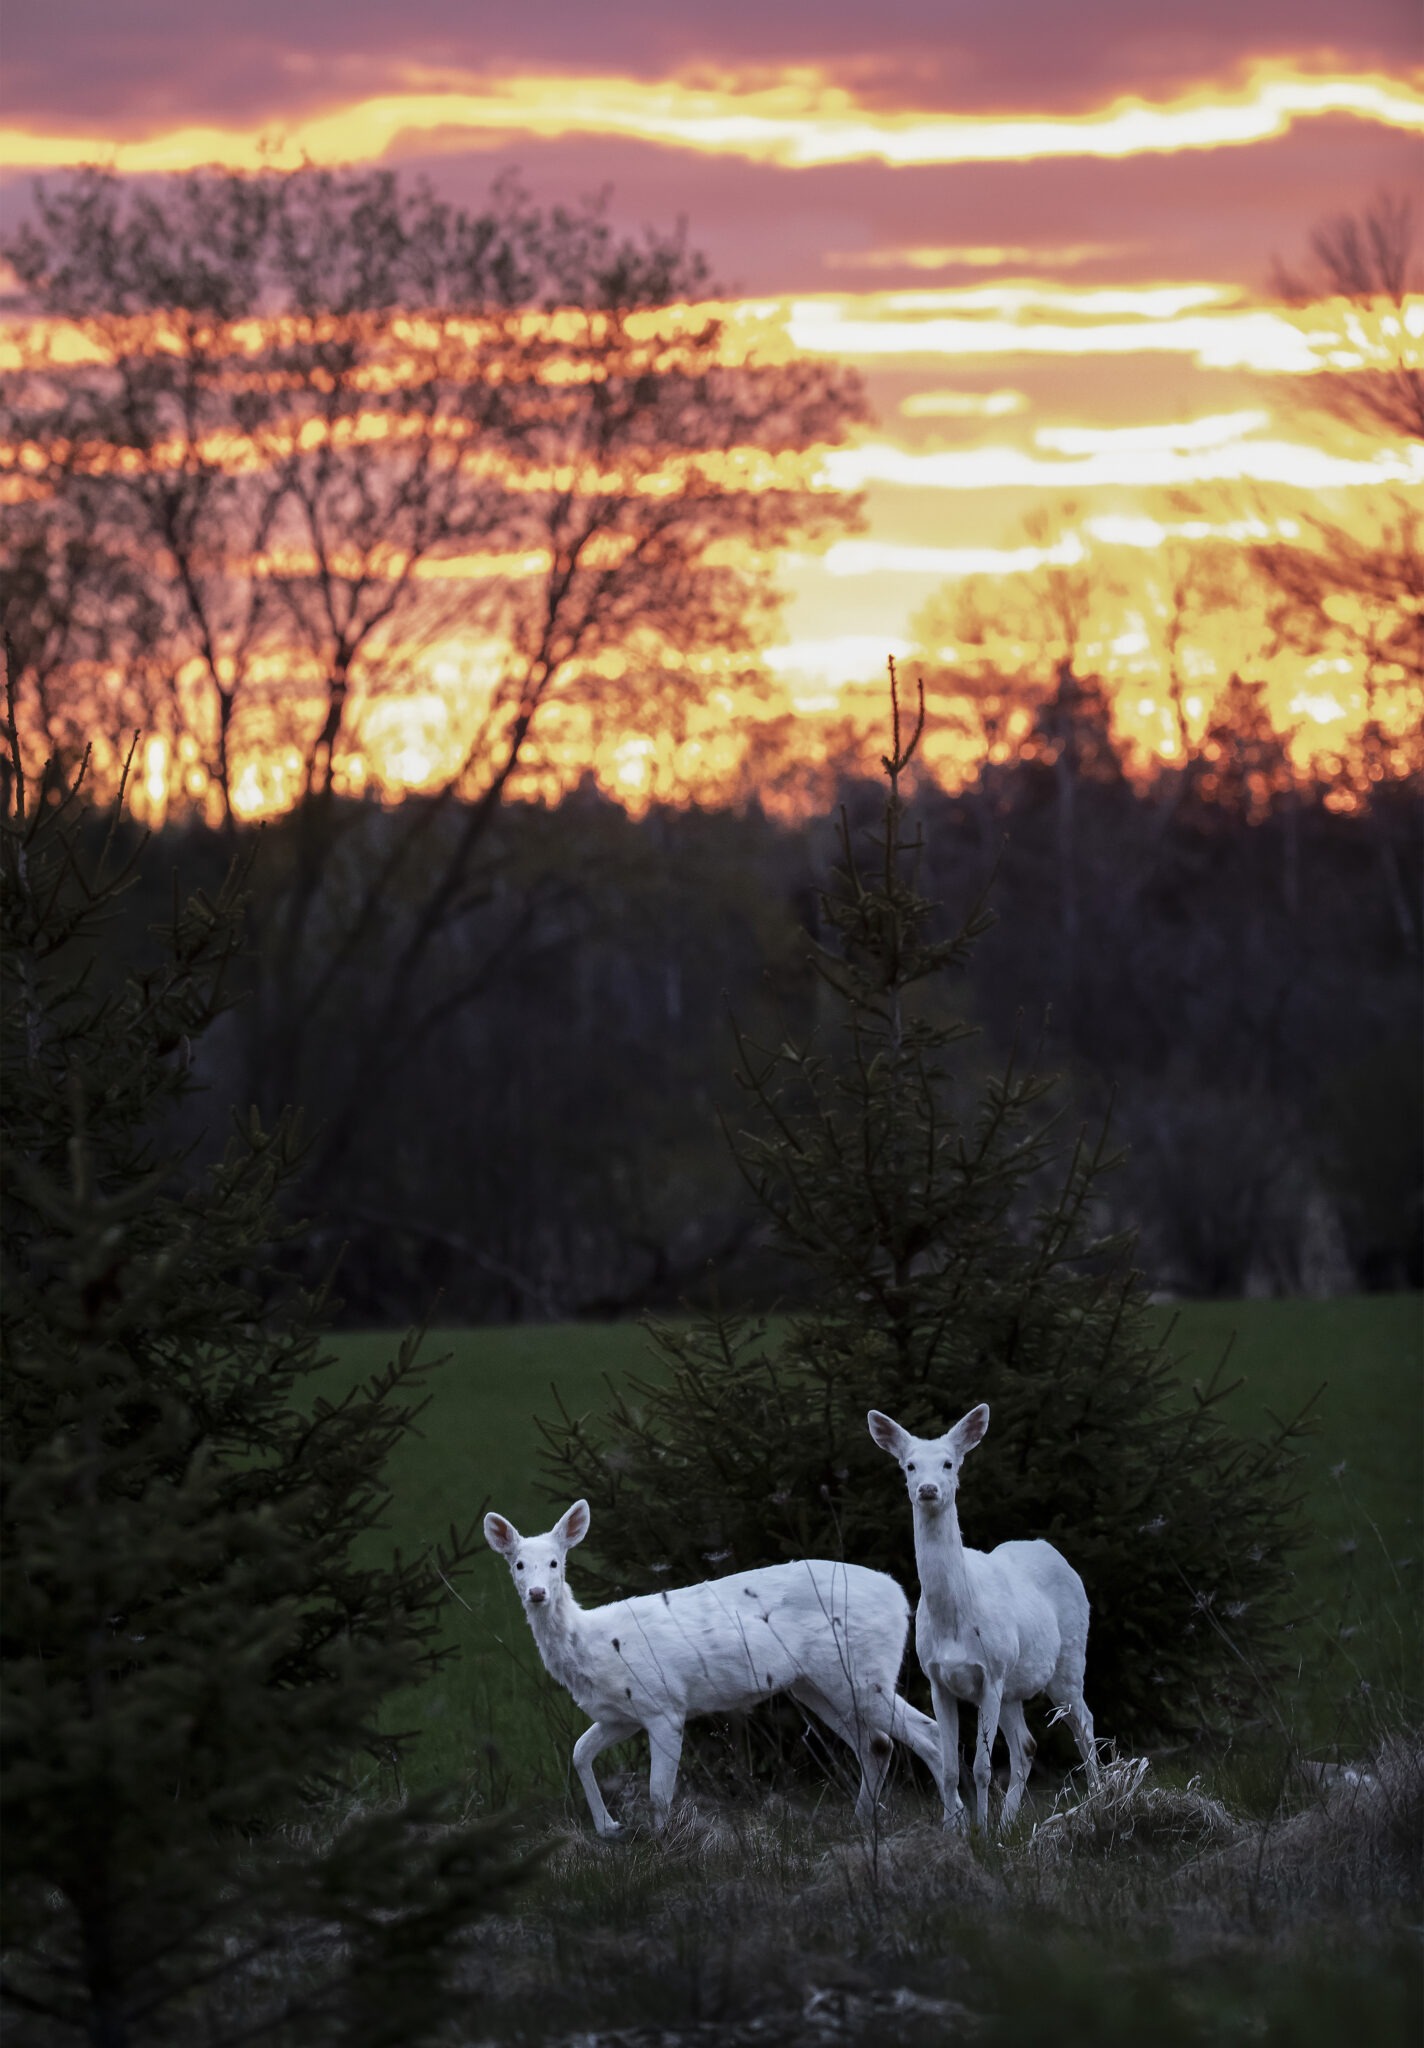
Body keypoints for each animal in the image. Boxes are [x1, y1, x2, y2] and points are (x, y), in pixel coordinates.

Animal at [483, 1499, 947, 1835]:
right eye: (518, 1564)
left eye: (556, 1562)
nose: (538, 1593)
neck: (592, 1643)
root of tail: (901, 1597)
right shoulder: (621, 1715)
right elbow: (579, 1752)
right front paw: (608, 1828)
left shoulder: (664, 1704)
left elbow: (657, 1792)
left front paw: (664, 1848)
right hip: (817, 1684)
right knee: (878, 1744)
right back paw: (863, 1822)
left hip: (864, 1669)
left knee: (929, 1732)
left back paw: (953, 1823)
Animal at [867, 1403, 1100, 1833]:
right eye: (909, 1465)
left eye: (948, 1462)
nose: (928, 1489)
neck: (955, 1620)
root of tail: (1049, 1547)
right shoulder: (936, 1677)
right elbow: (947, 1769)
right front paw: (955, 1831)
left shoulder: (989, 1674)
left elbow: (980, 1768)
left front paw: (984, 1834)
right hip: (1013, 1682)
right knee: (1027, 1745)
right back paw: (1011, 1824)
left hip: (1066, 1661)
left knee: (1084, 1723)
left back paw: (1100, 1801)